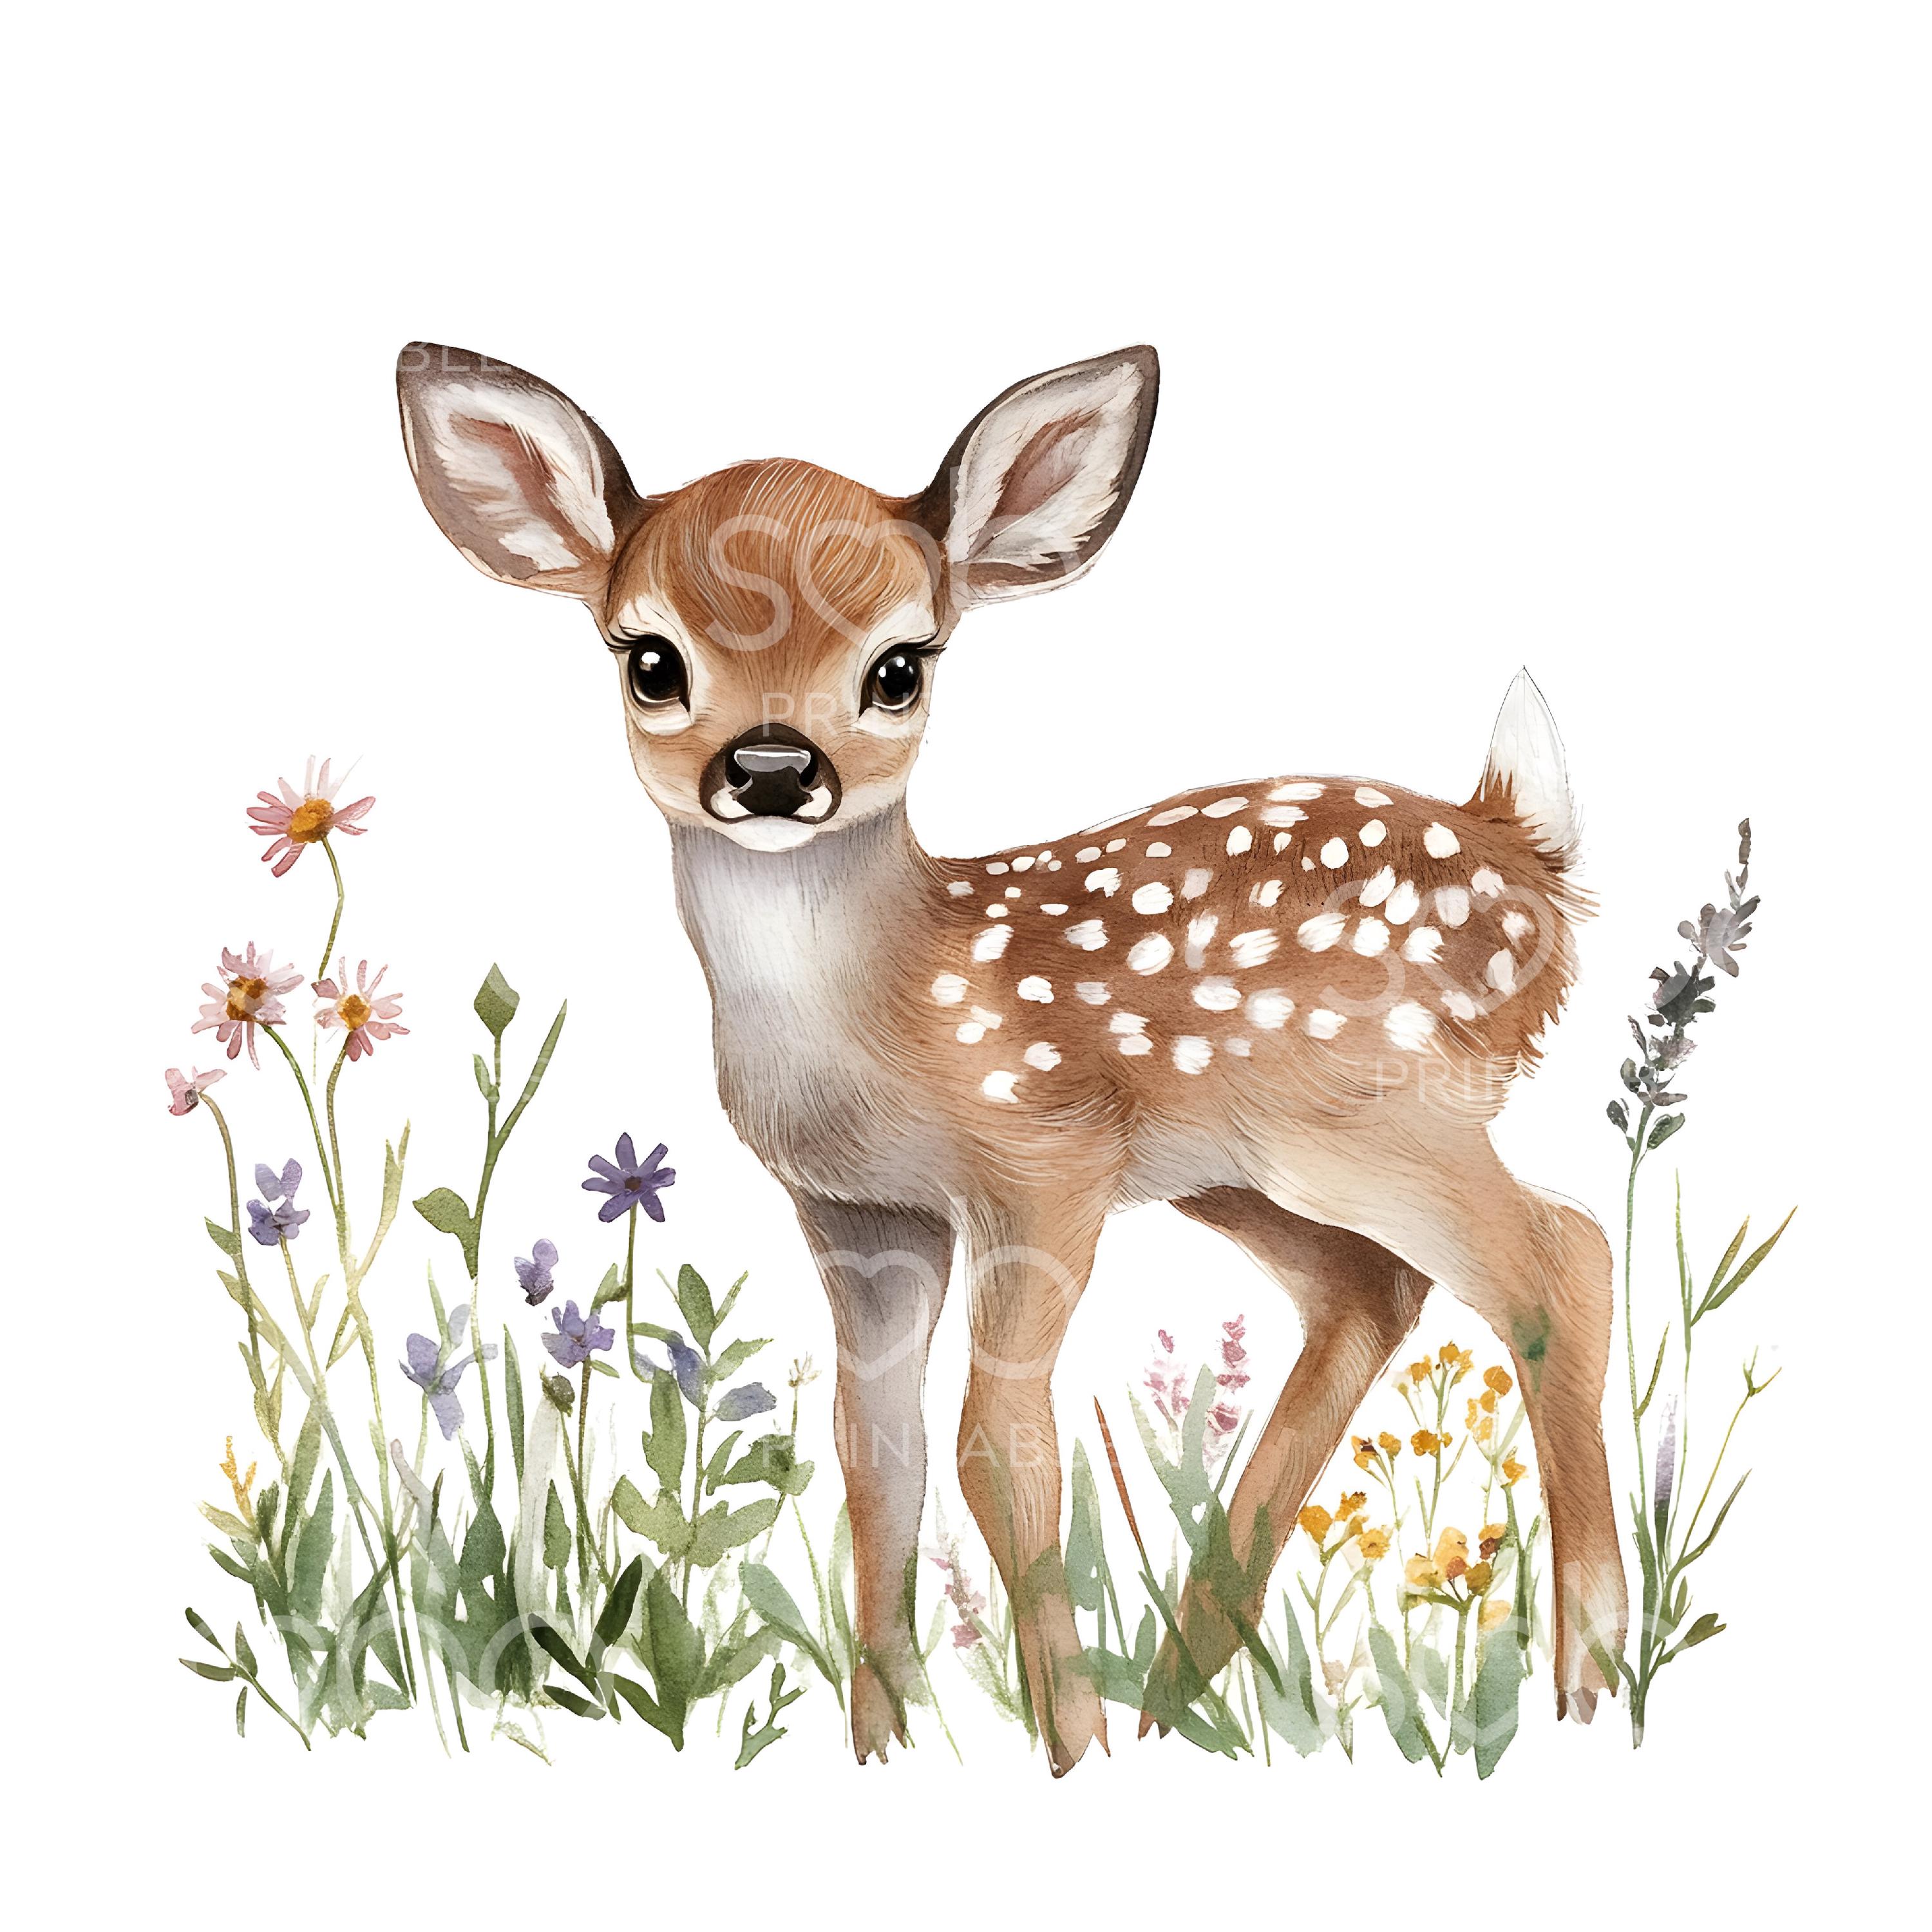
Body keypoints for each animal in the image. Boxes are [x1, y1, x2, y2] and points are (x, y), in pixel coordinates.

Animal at [396, 341, 1628, 1774]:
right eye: (652, 659)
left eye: (900, 666)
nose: (772, 766)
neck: (896, 1012)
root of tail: (1526, 858)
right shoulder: (860, 1213)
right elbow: (879, 1451)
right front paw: (887, 1746)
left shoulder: (1041, 1160)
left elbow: (1000, 1445)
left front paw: (1065, 1751)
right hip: (1239, 1164)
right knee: (1373, 1293)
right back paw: (1181, 1695)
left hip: (1369, 1111)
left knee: (1561, 1260)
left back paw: (1588, 1679)